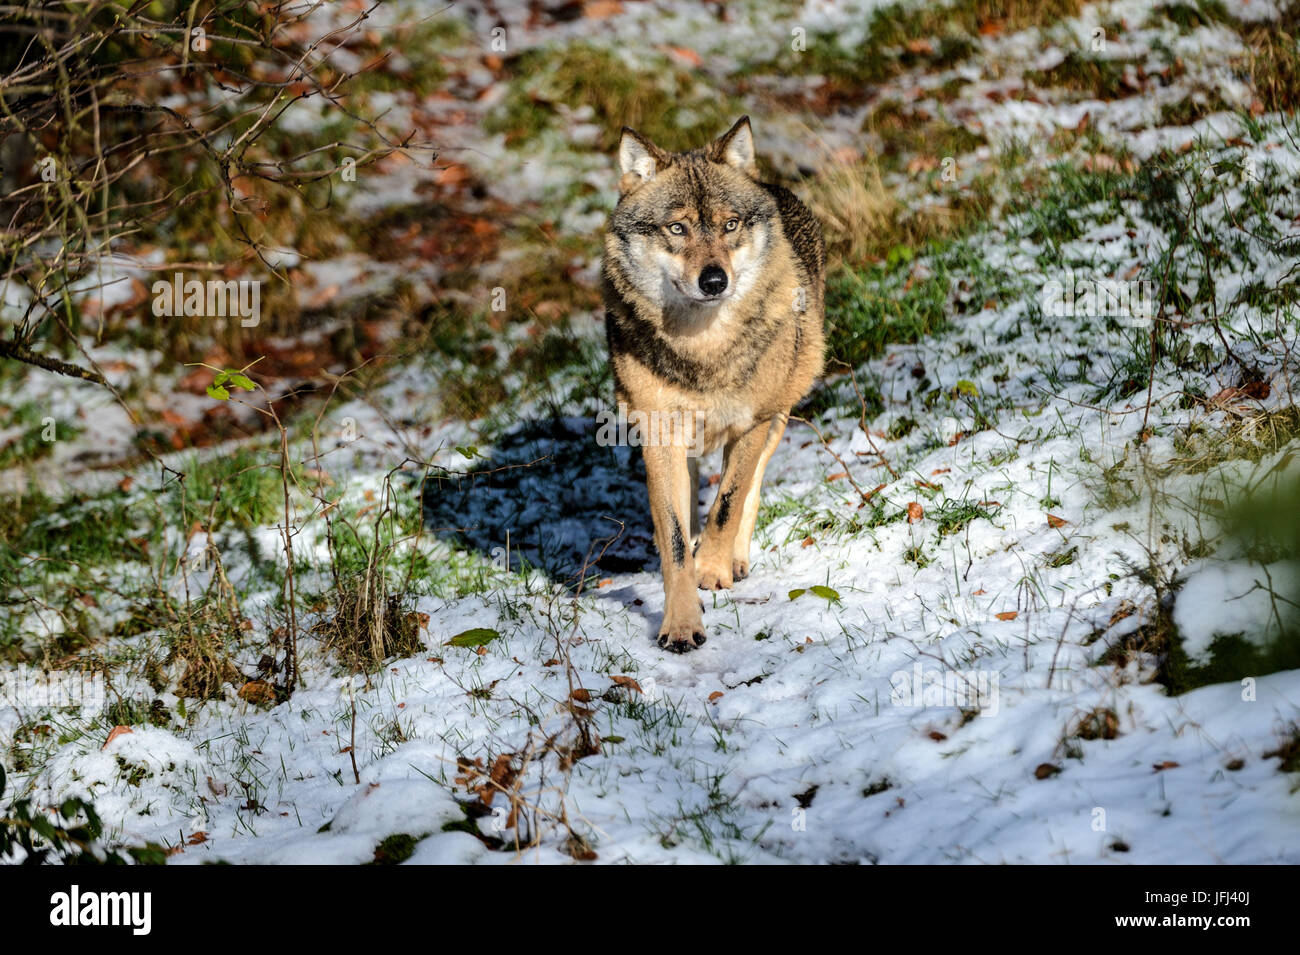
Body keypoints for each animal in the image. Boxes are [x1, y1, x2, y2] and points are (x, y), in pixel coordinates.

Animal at [601, 116, 825, 652]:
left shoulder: (753, 423)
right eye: (677, 228)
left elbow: (729, 501)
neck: (703, 349)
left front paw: (712, 568)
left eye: (729, 225)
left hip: (781, 410)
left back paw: (735, 559)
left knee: (751, 485)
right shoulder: (658, 436)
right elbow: (675, 539)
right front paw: (682, 623)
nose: (714, 280)